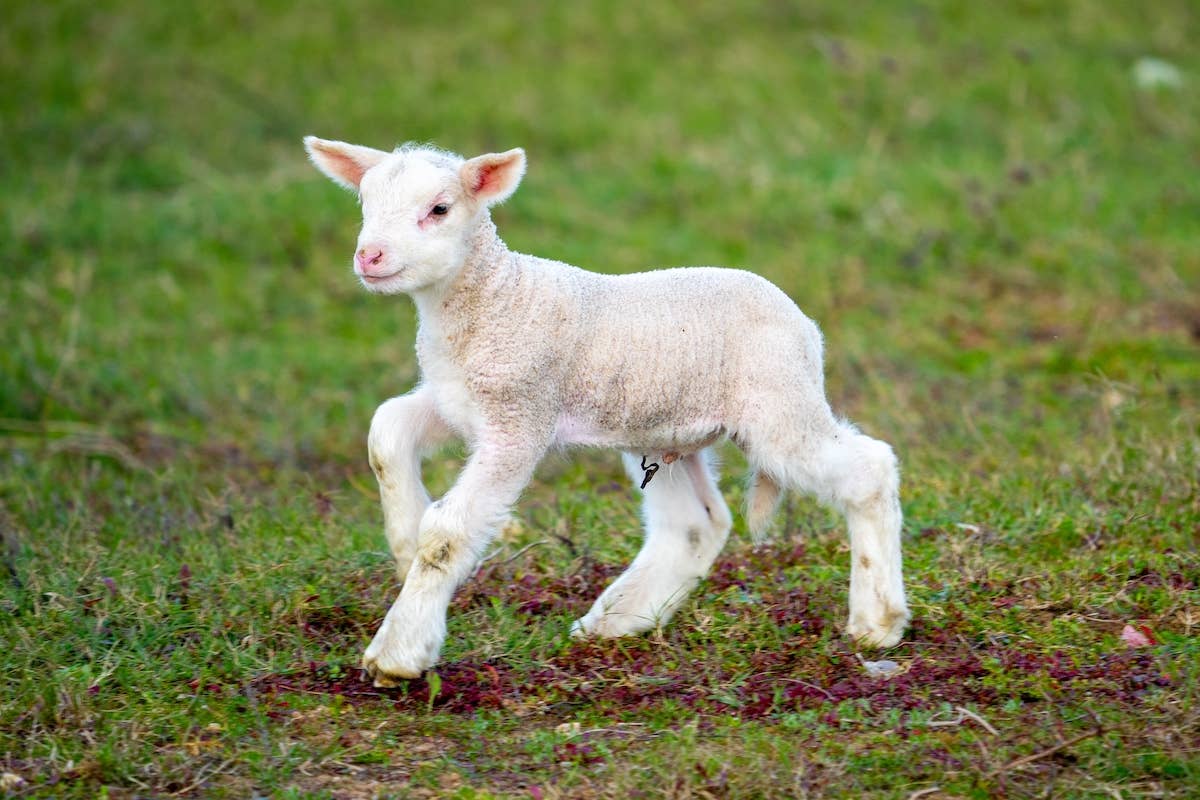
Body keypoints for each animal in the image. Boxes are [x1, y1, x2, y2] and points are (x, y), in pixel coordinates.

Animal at [304, 136, 910, 686]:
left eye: (439, 209)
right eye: (364, 203)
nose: (369, 257)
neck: (493, 298)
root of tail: (806, 326)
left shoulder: (519, 416)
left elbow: (448, 531)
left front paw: (398, 653)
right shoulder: (457, 401)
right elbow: (386, 431)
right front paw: (404, 544)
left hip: (779, 404)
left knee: (869, 468)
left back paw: (876, 622)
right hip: (662, 429)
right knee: (696, 524)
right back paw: (616, 622)